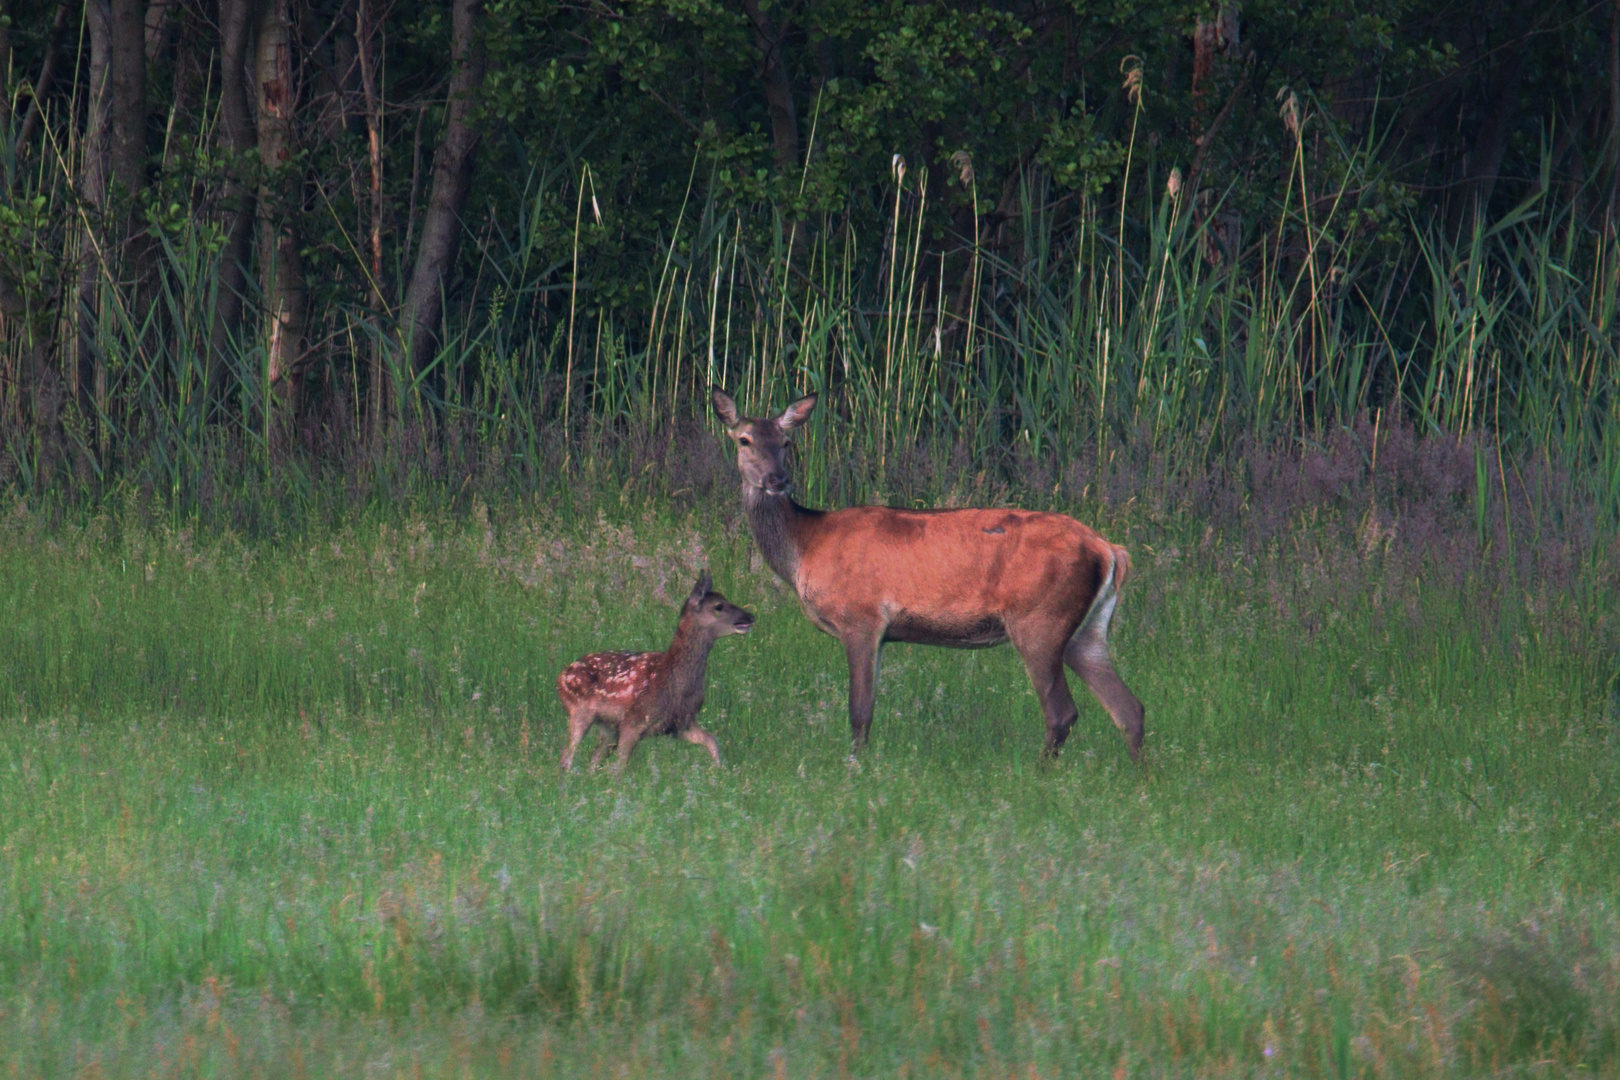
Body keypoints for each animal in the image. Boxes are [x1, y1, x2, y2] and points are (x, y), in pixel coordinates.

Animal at [716, 388, 1146, 761]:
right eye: (744, 440)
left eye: (787, 442)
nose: (777, 479)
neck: (806, 545)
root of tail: (1109, 550)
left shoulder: (861, 617)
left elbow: (859, 710)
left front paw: (855, 767)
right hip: (1088, 629)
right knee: (1130, 708)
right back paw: (1141, 780)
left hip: (1040, 618)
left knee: (1062, 712)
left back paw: (1041, 775)